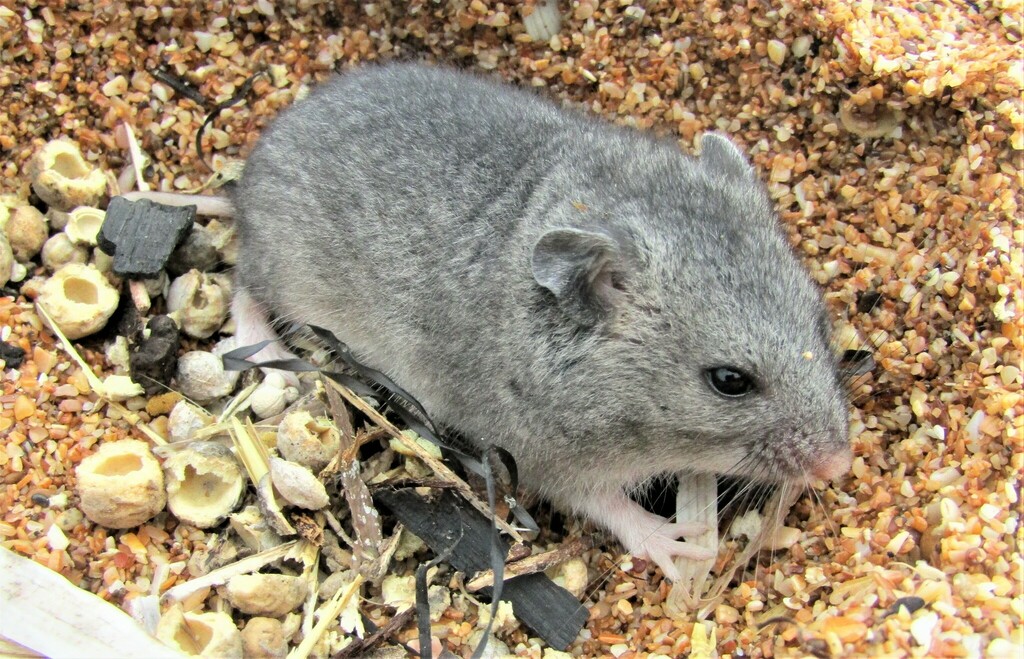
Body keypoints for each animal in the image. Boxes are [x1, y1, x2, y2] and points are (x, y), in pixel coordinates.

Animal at [231, 64, 851, 581]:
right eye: (729, 381)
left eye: (821, 324)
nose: (836, 466)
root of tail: (260, 157)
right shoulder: (544, 457)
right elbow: (607, 505)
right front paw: (679, 542)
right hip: (286, 275)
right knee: (242, 290)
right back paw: (267, 358)